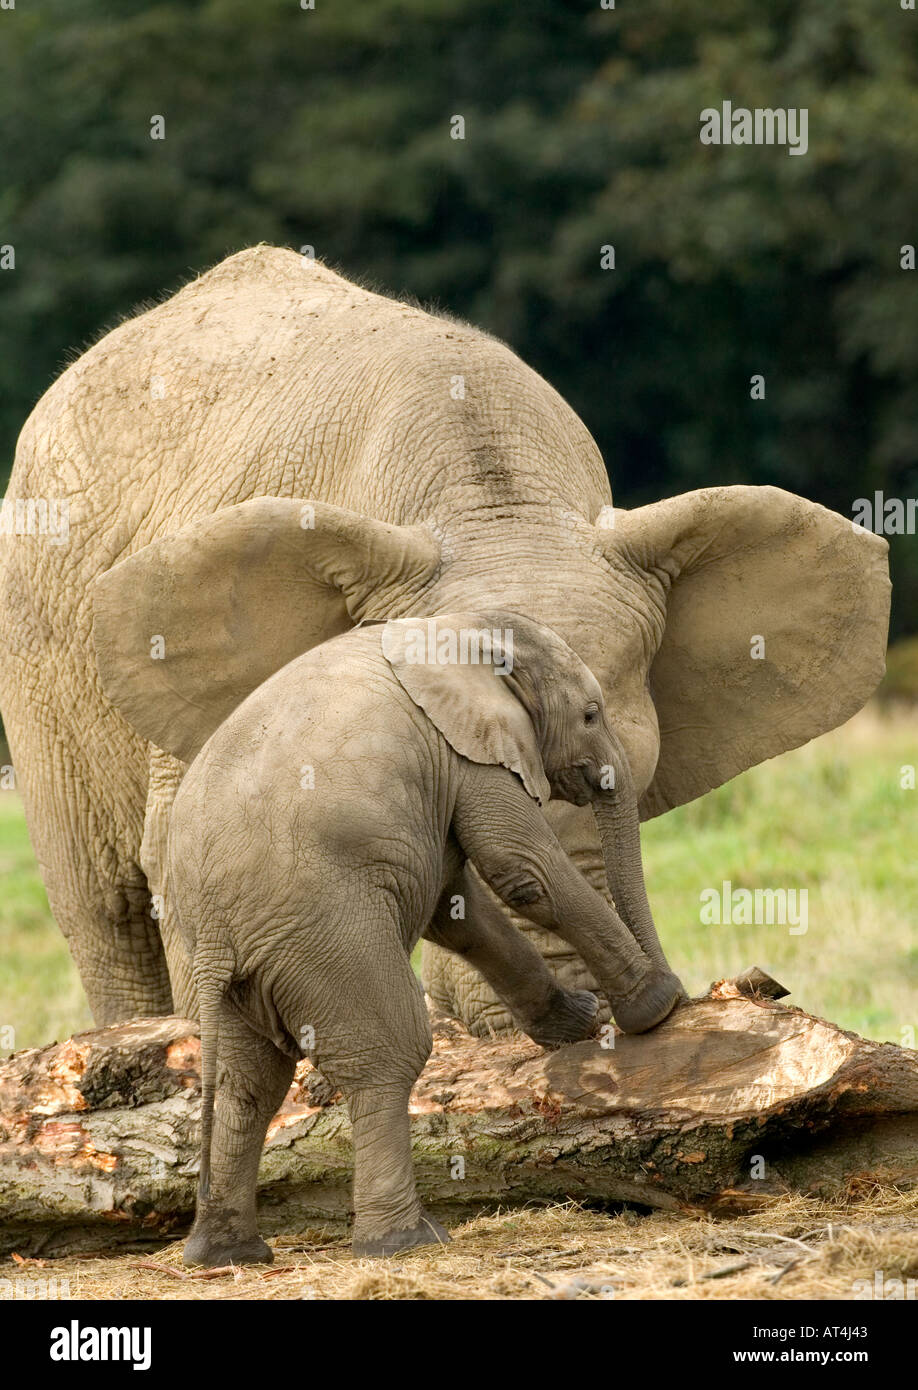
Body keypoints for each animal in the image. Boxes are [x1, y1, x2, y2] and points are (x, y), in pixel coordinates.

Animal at [95, 602, 684, 1263]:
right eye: (589, 714)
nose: (664, 994)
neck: (464, 625)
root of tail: (216, 938)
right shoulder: (466, 752)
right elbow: (522, 871)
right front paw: (655, 1007)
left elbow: (457, 907)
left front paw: (582, 1022)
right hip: (327, 942)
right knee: (389, 1055)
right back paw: (403, 1240)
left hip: (240, 978)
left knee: (247, 1088)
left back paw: (225, 1255)